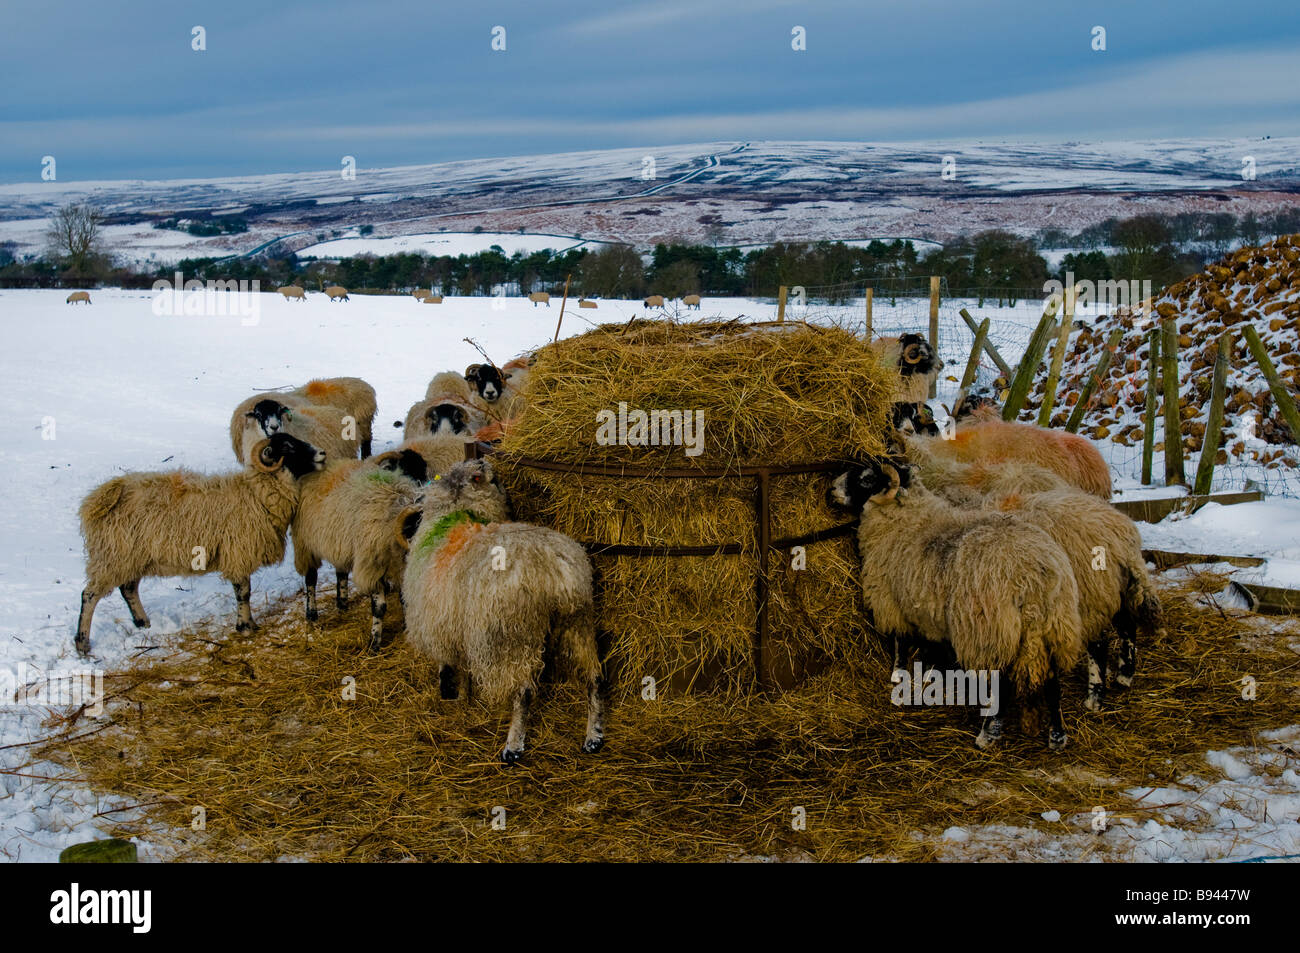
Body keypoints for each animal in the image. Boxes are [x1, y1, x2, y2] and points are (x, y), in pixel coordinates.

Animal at [75, 434, 325, 655]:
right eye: (288, 446)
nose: (322, 454)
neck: (257, 494)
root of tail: (100, 498)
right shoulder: (237, 553)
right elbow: (243, 592)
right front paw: (246, 627)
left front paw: (249, 624)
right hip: (113, 555)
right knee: (89, 595)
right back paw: (82, 643)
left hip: (132, 556)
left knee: (128, 589)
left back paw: (143, 623)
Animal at [398, 459, 605, 763]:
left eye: (478, 476)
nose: (482, 461)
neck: (458, 514)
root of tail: (550, 566)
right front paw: (466, 696)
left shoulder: (441, 621)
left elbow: (451, 663)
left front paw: (454, 693)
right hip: (576, 622)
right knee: (594, 677)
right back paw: (594, 736)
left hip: (512, 635)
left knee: (523, 691)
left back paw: (513, 746)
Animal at [830, 457, 1085, 749]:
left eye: (867, 479)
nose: (832, 488)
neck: (908, 519)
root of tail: (1034, 575)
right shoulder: (927, 606)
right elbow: (933, 645)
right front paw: (932, 671)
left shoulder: (891, 599)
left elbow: (900, 641)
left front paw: (898, 673)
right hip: (1053, 624)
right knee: (1053, 681)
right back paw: (1057, 734)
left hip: (988, 630)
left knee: (1002, 682)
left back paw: (987, 733)